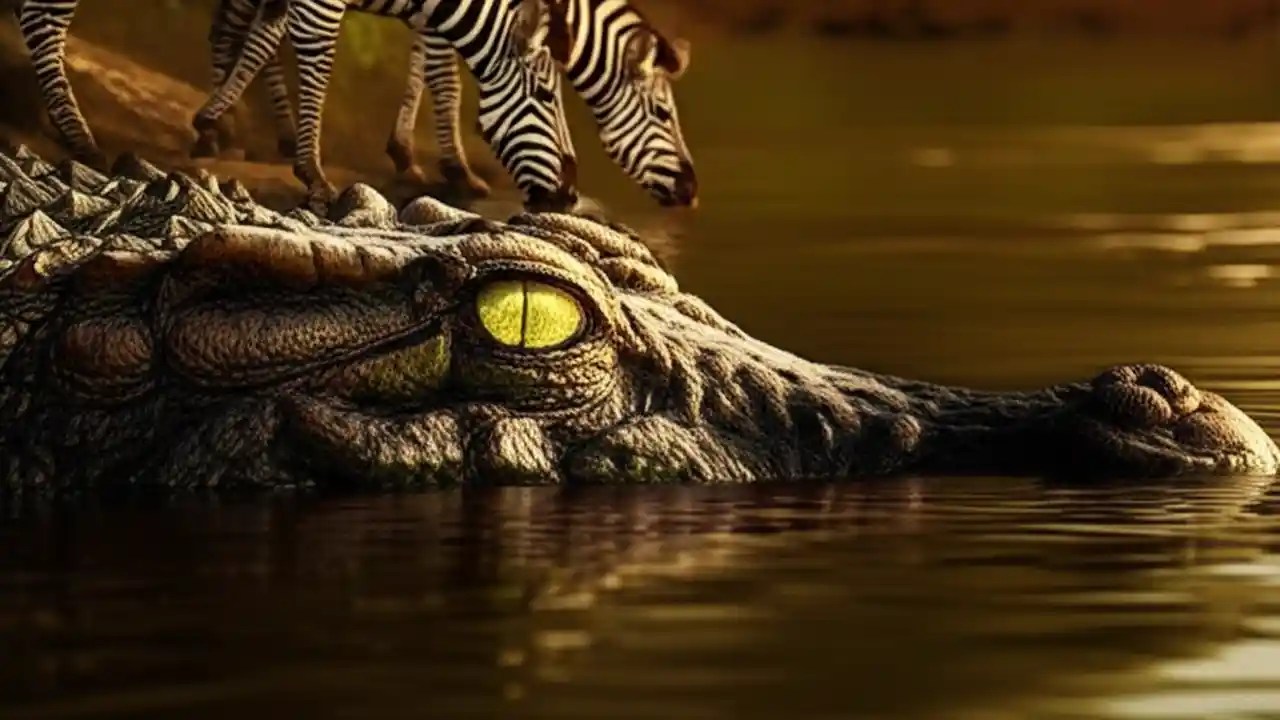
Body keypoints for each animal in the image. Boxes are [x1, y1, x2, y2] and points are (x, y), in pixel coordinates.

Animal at [205, 0, 698, 208]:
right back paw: (221, 126)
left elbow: (430, 65)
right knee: (235, 29)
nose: (692, 191)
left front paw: (412, 155)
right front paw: (314, 174)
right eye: (663, 115)